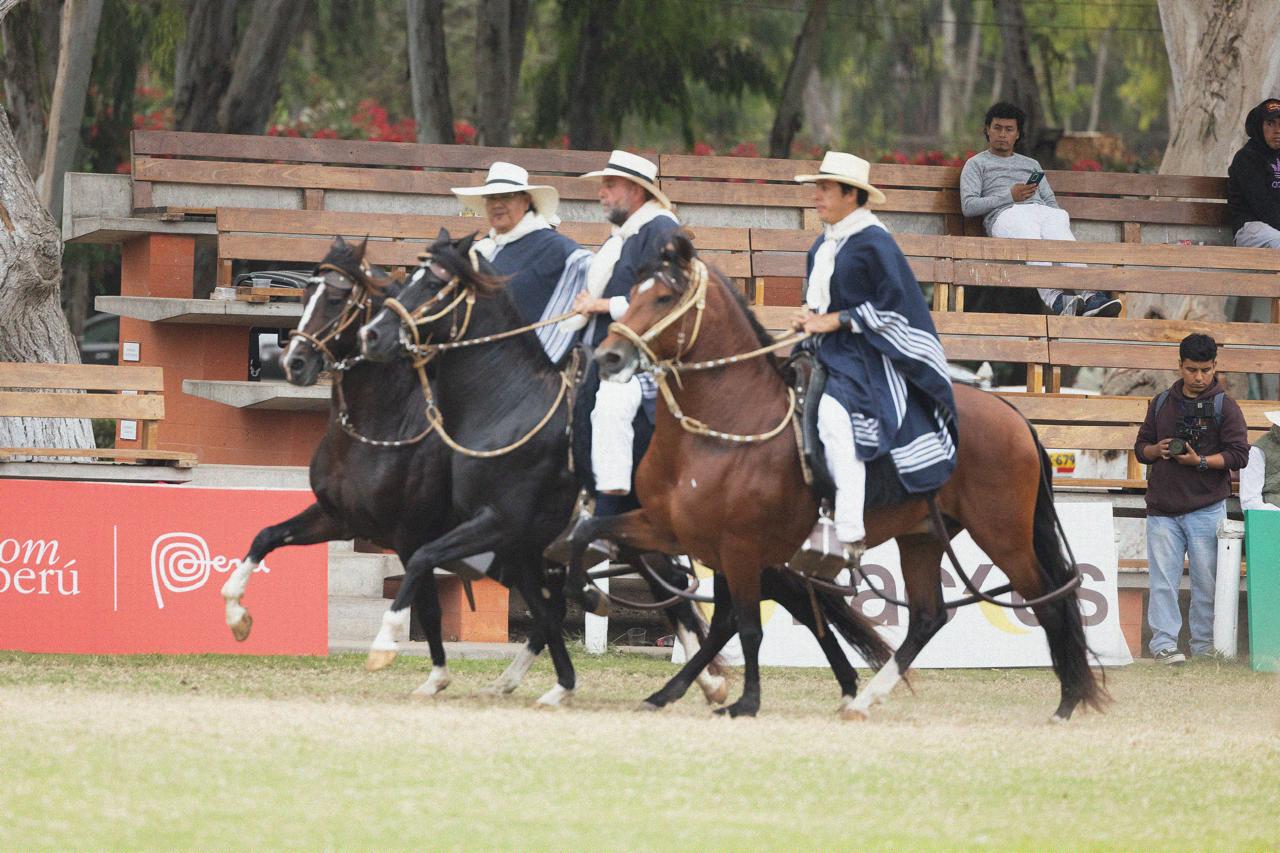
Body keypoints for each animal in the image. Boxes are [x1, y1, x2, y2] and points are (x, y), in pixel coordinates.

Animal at [356, 230, 894, 710]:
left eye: (435, 282)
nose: (372, 334)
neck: (510, 406)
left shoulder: (500, 524)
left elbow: (425, 561)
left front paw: (385, 646)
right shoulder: (517, 542)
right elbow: (543, 610)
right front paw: (548, 682)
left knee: (781, 601)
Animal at [566, 231, 1108, 721]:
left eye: (661, 297)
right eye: (631, 294)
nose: (609, 356)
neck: (726, 423)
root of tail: (1012, 412)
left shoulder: (740, 547)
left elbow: (745, 626)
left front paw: (745, 701)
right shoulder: (680, 531)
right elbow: (588, 538)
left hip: (1003, 535)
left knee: (1050, 601)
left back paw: (1066, 702)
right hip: (923, 537)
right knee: (928, 616)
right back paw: (866, 698)